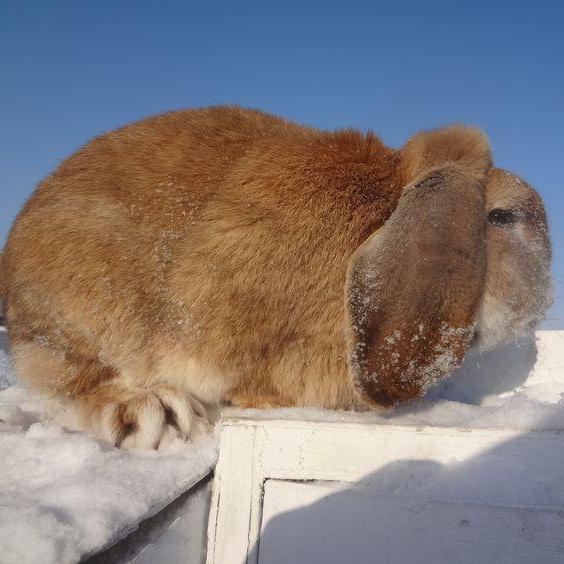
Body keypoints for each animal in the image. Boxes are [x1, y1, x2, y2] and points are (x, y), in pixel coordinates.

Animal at [0, 106, 552, 450]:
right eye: (501, 216)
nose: (543, 299)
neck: (380, 215)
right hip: (87, 309)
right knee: (73, 382)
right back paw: (155, 411)